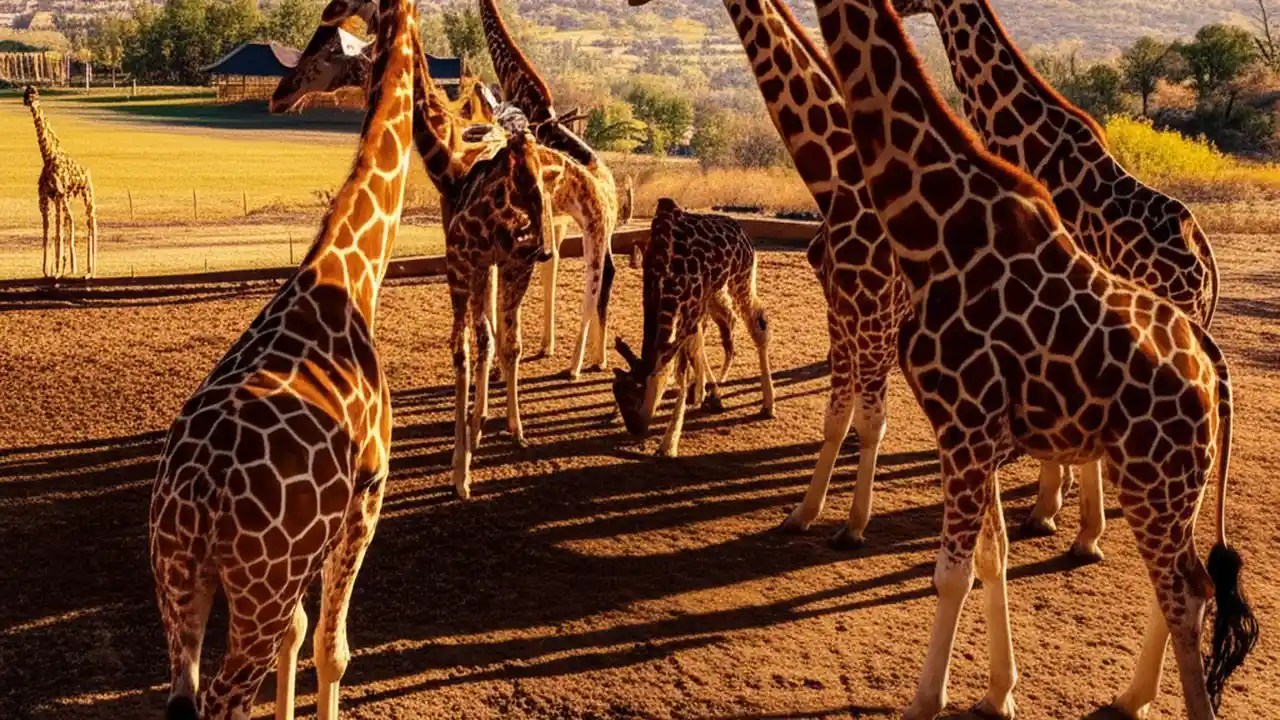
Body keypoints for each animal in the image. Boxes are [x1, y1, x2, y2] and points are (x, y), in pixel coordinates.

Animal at [23, 86, 98, 279]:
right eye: (25, 94)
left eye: (35, 94)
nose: (28, 102)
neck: (48, 157)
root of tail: (87, 171)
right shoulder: (45, 197)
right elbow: (48, 230)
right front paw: (48, 271)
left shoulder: (58, 195)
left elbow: (57, 229)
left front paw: (57, 271)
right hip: (68, 198)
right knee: (72, 220)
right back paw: (76, 269)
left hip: (87, 194)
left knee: (91, 222)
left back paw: (90, 271)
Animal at [148, 1, 419, 718]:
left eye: (324, 46)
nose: (279, 93)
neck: (352, 272)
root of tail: (196, 499)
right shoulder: (369, 493)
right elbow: (332, 648)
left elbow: (304, 637)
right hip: (258, 585)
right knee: (223, 698)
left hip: (175, 578)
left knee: (183, 693)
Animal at [445, 131, 557, 499]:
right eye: (518, 174)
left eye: (545, 179)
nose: (544, 249)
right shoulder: (462, 266)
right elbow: (464, 351)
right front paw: (460, 473)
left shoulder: (514, 268)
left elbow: (510, 344)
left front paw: (513, 428)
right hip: (475, 273)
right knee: (476, 341)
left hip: (495, 273)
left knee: (493, 338)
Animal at [613, 198, 775, 458]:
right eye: (617, 396)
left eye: (632, 396)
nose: (636, 427)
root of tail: (742, 232)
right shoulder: (690, 308)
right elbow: (689, 353)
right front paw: (706, 394)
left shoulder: (691, 308)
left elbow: (675, 365)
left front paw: (668, 445)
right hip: (716, 293)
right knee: (727, 324)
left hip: (741, 278)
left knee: (759, 325)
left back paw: (768, 405)